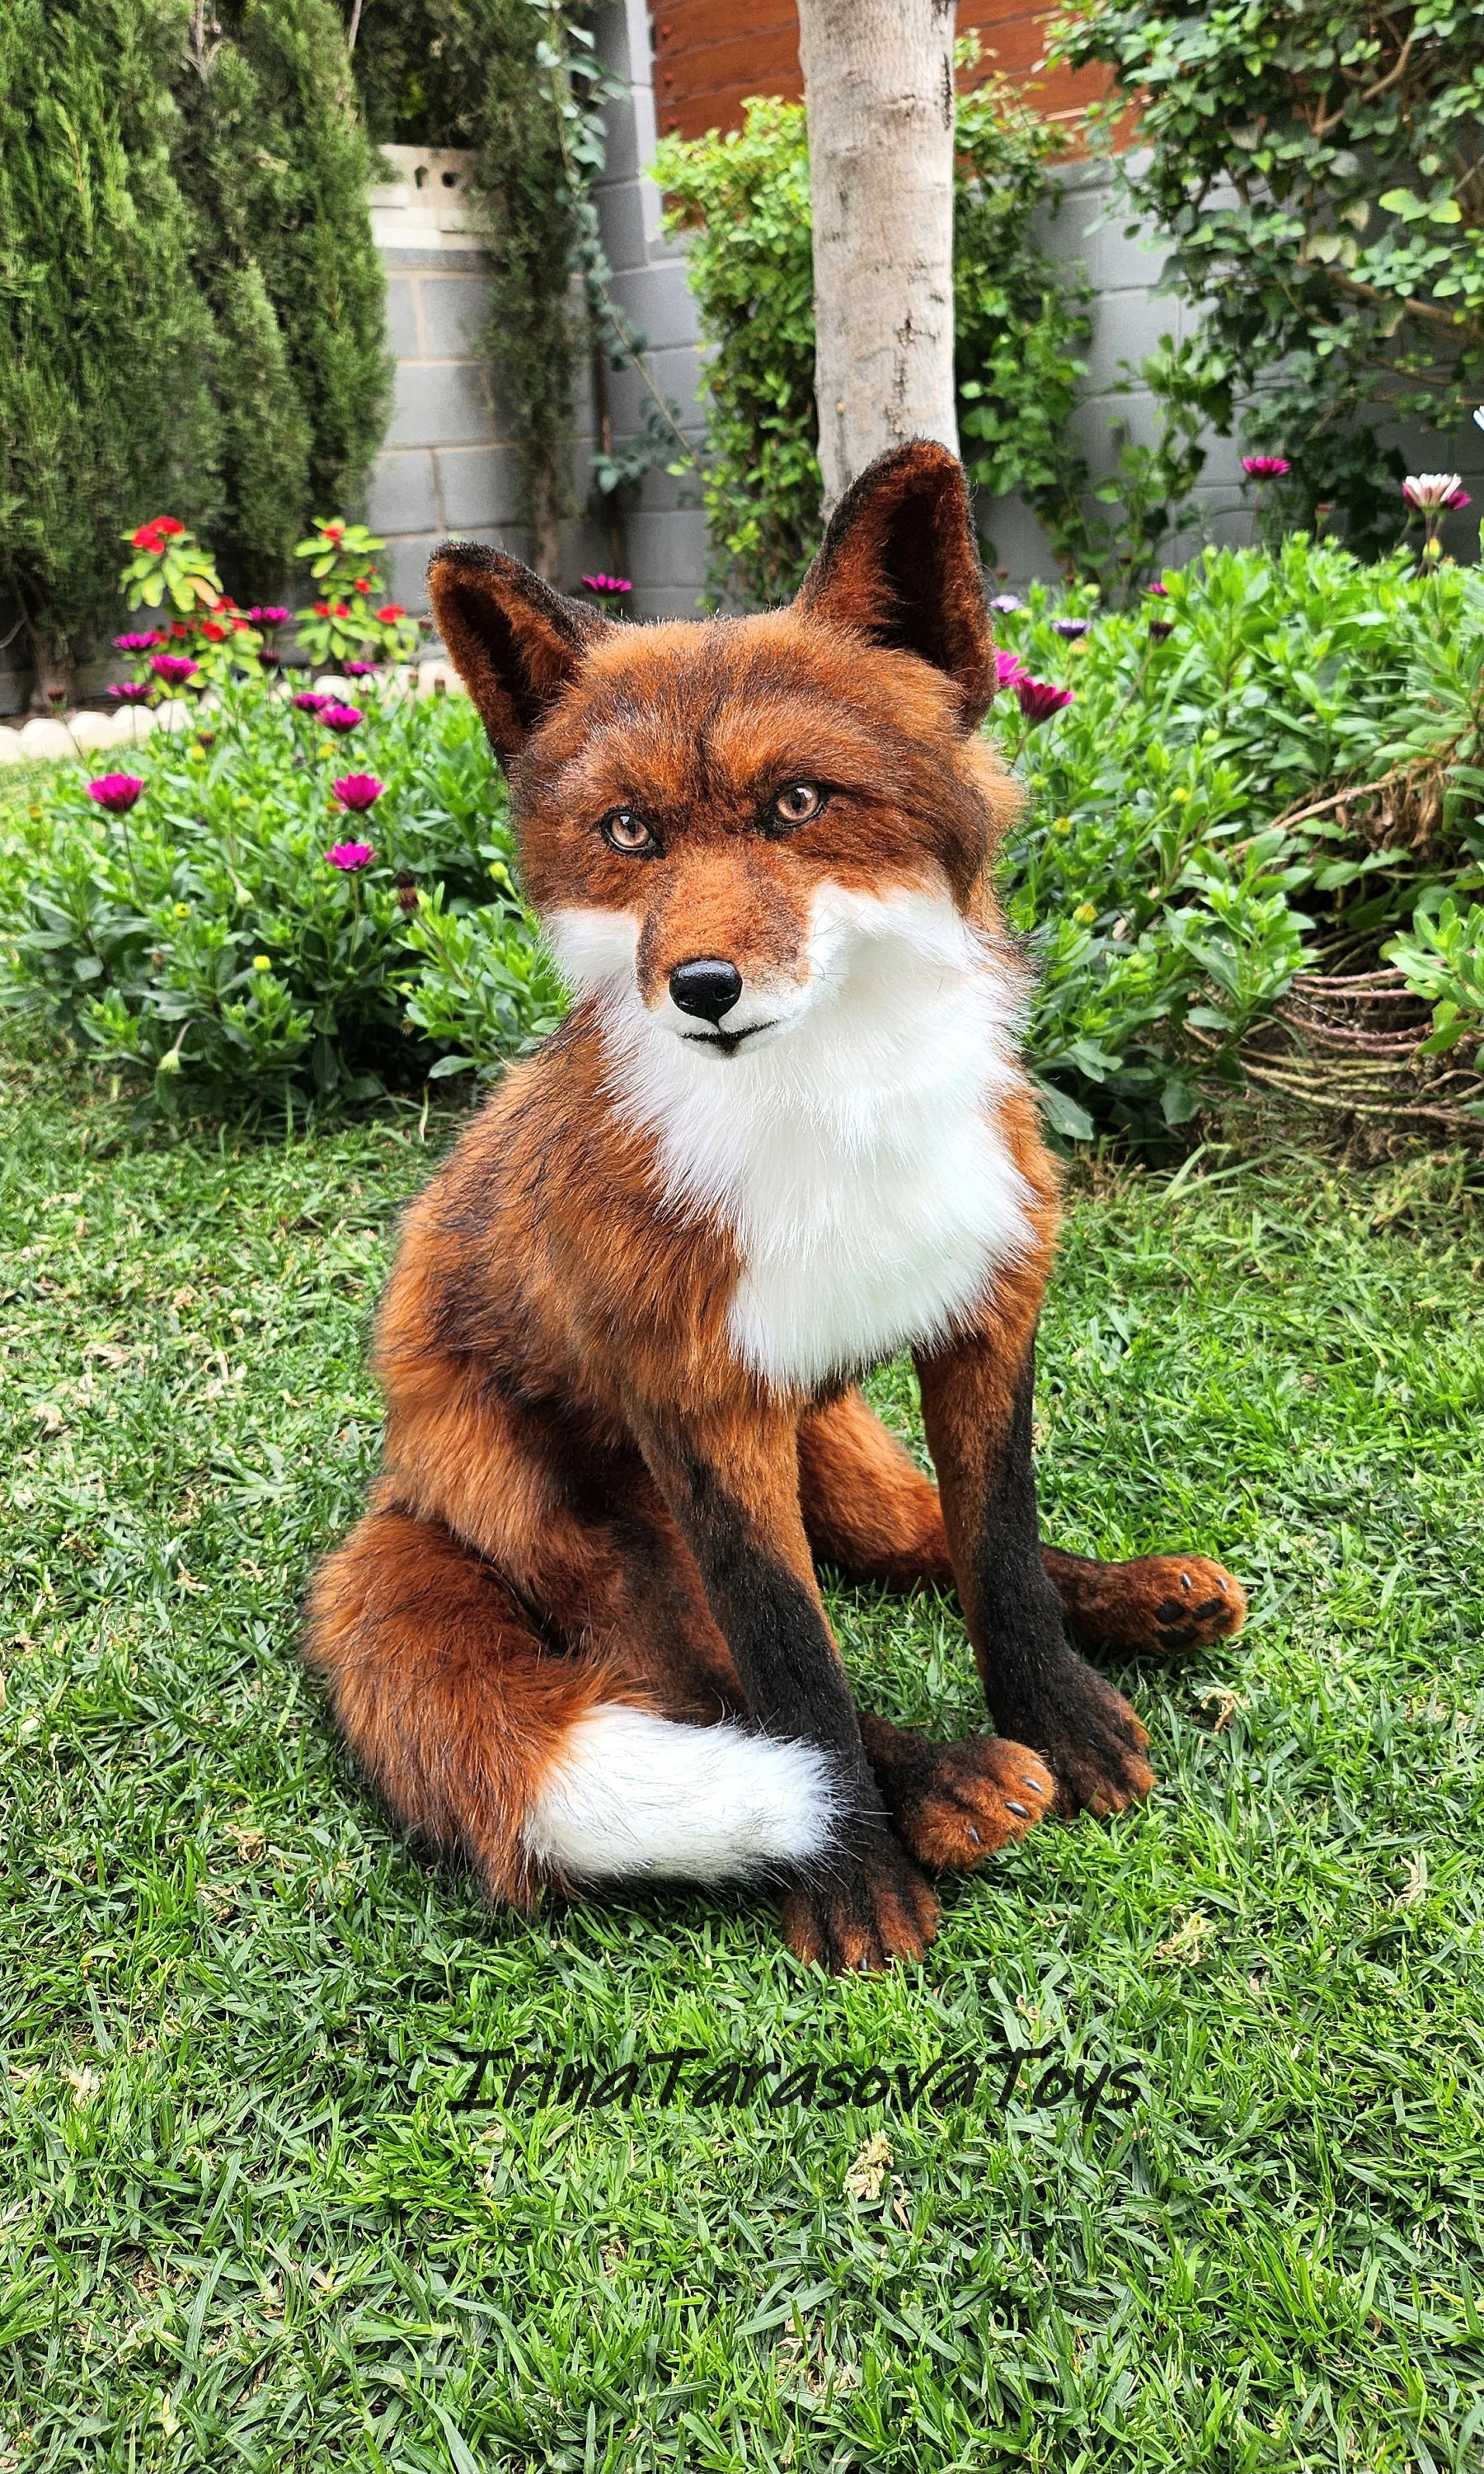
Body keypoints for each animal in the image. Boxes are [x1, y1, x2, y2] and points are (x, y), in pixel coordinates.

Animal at [304, 440, 1247, 1972]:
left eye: (796, 805)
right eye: (630, 833)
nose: (700, 989)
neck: (840, 1129)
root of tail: (404, 1491)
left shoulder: (989, 1317)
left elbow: (998, 1552)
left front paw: (1065, 1716)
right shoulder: (703, 1412)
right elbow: (792, 1665)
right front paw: (856, 1874)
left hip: (840, 1457)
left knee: (923, 1544)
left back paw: (1136, 1604)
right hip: (624, 1550)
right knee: (709, 1682)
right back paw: (948, 1783)